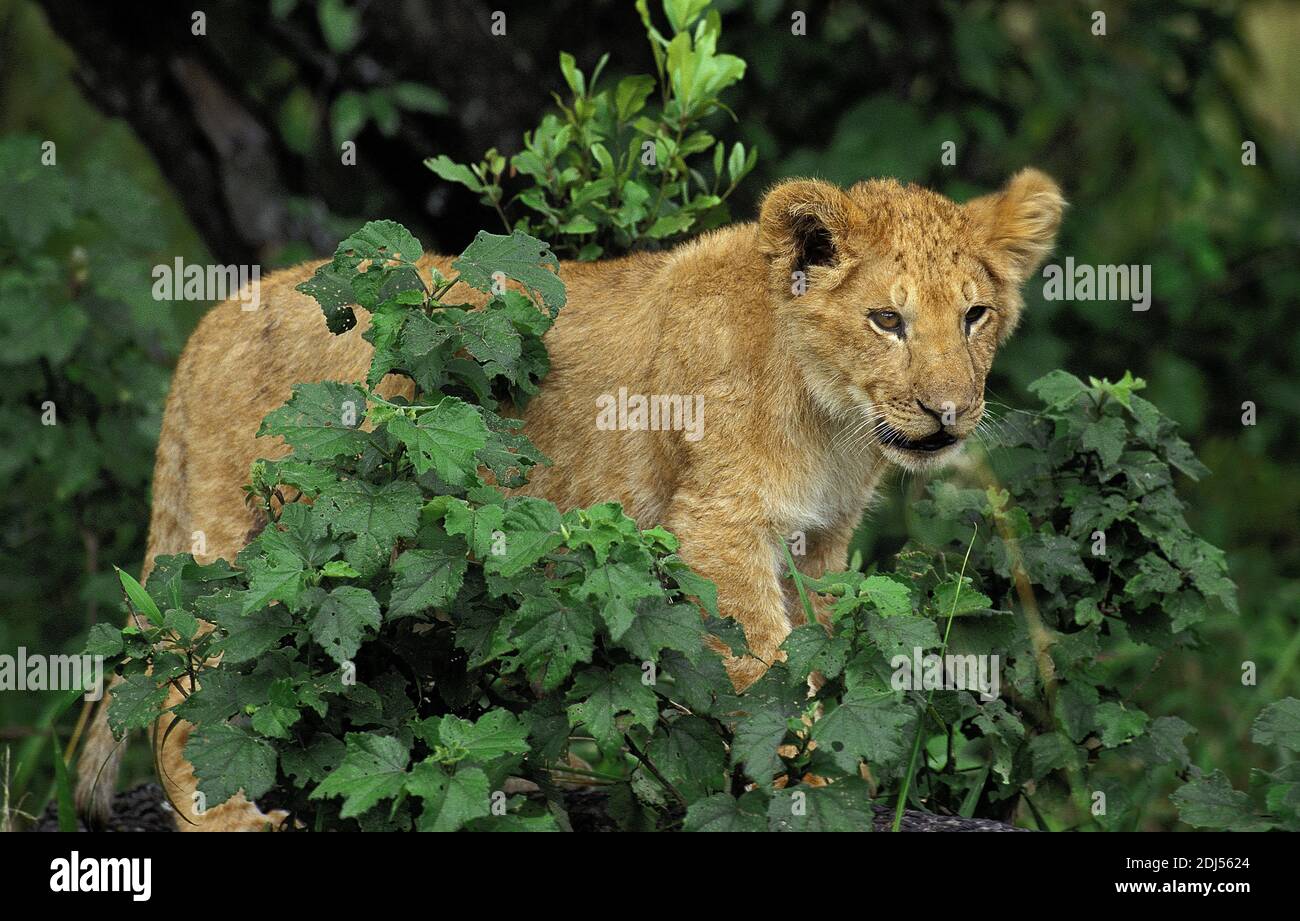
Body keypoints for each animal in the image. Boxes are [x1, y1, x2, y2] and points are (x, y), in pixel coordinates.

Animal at [76, 171, 1064, 830]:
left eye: (973, 316)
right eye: (887, 321)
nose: (948, 413)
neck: (834, 419)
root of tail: (210, 320)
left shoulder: (818, 544)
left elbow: (824, 655)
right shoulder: (720, 527)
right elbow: (776, 678)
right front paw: (809, 789)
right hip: (244, 543)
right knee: (185, 691)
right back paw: (226, 814)